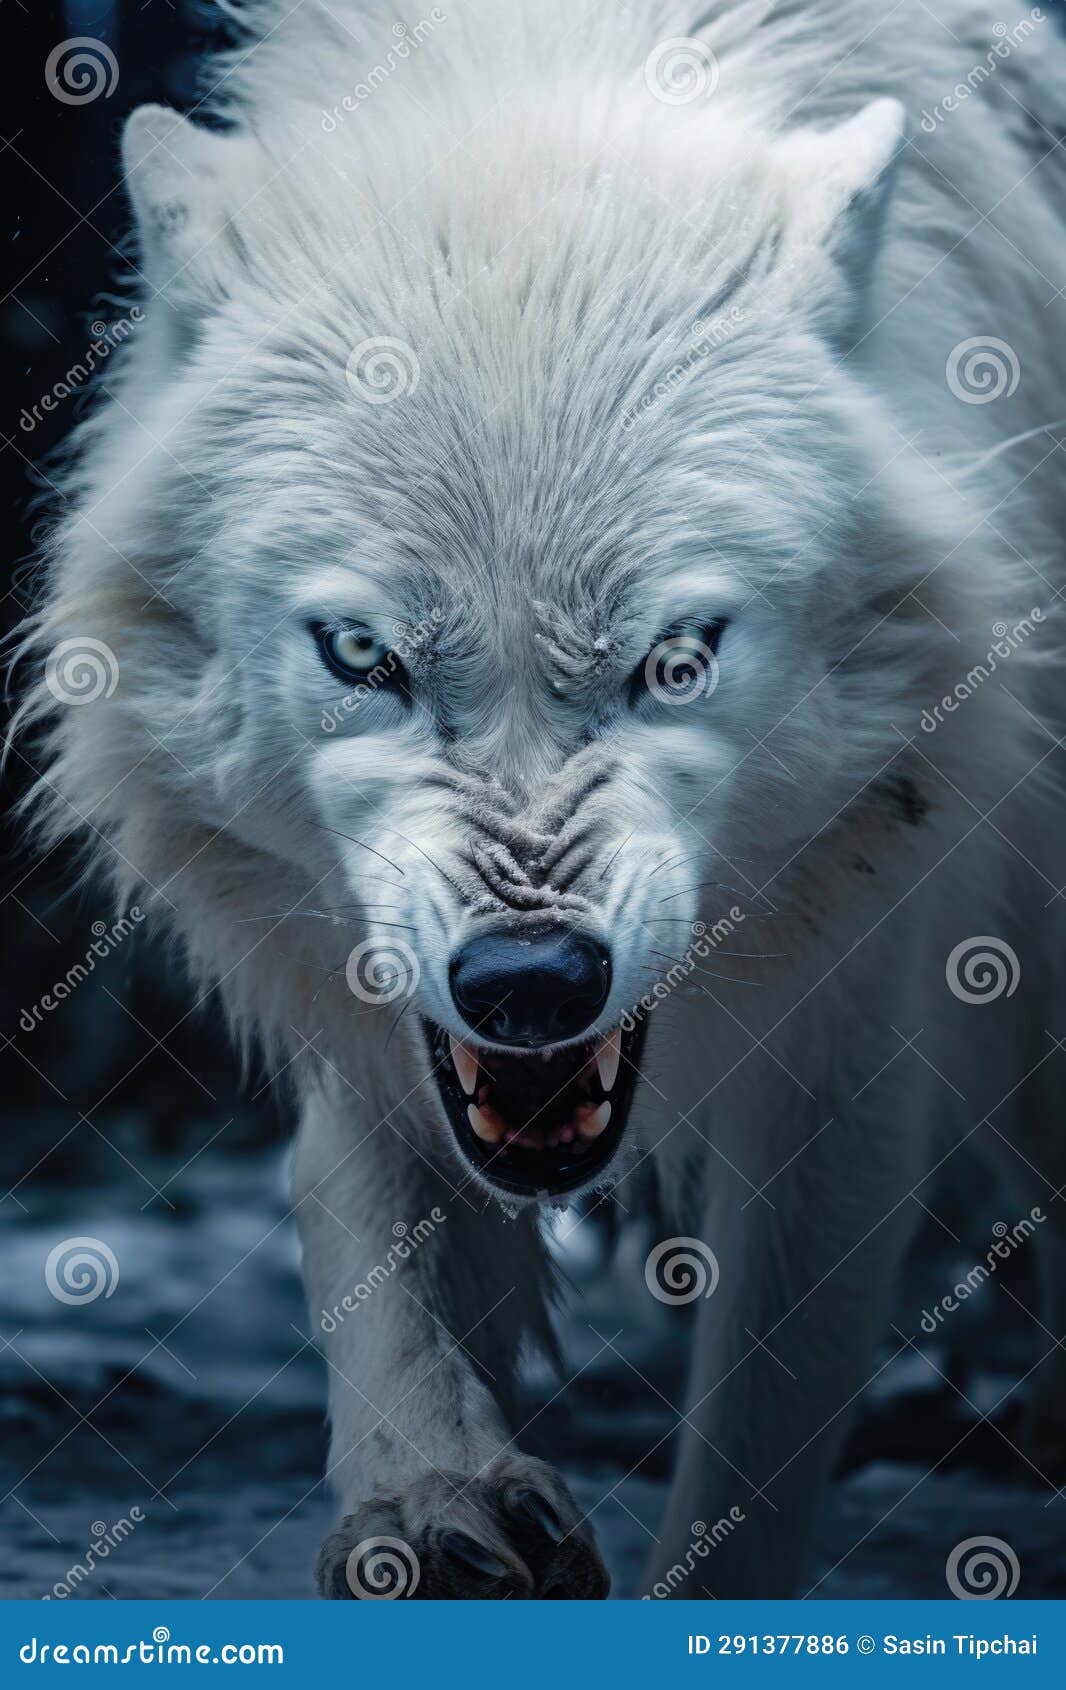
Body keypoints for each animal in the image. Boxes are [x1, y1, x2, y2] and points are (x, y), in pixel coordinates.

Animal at [16, 0, 1066, 1598]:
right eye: (363, 655)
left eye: (676, 656)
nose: (525, 982)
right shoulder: (367, 1002)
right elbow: (356, 1234)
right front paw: (430, 1502)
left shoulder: (858, 1022)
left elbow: (750, 1456)